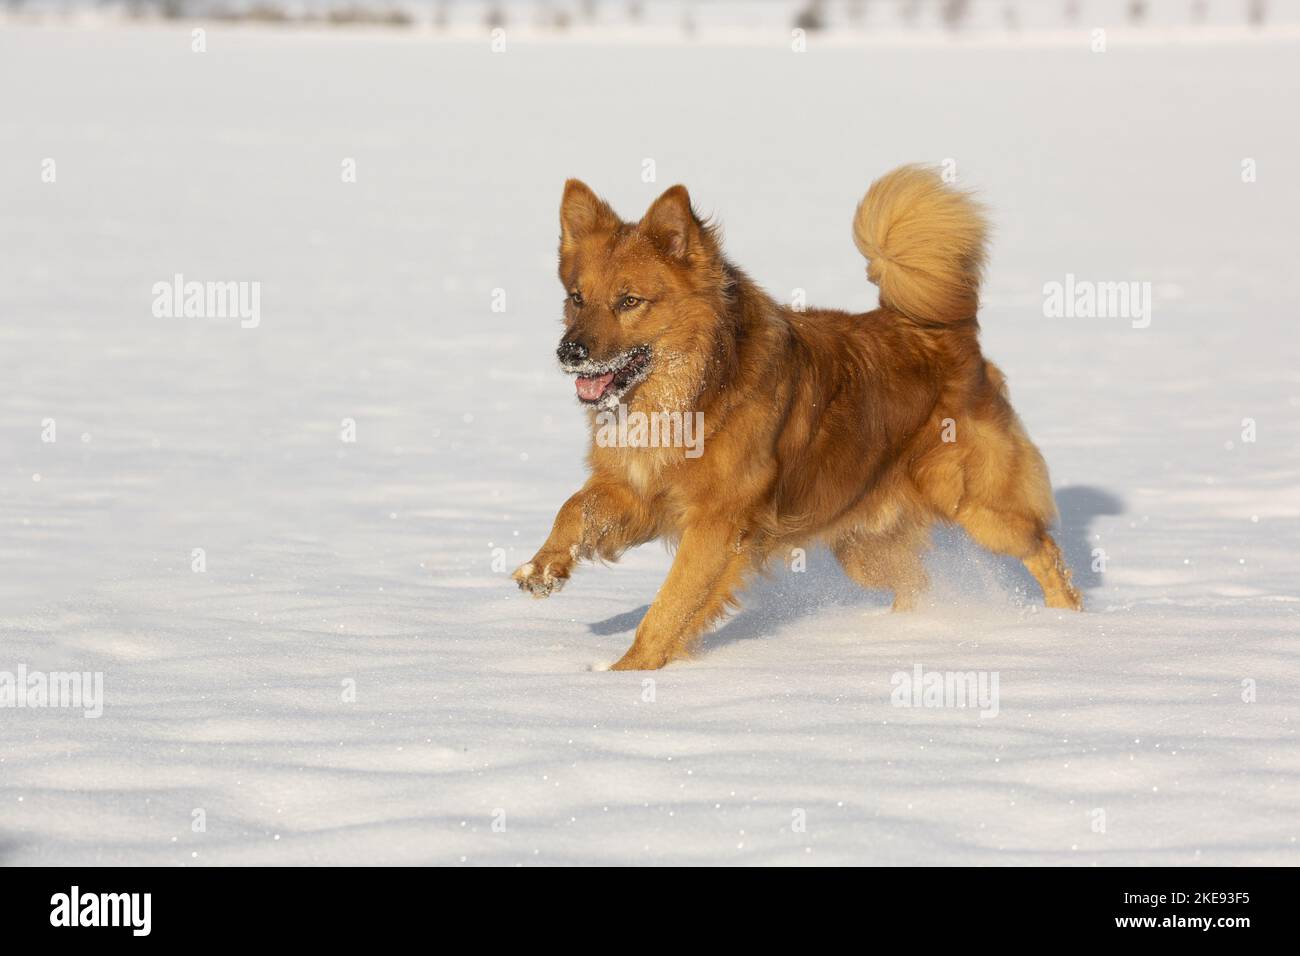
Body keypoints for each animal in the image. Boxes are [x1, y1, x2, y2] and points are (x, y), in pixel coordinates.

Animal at [513, 165, 1081, 670]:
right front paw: (544, 567)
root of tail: (947, 332)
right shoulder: (637, 490)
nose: (569, 351)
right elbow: (574, 509)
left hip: (976, 504)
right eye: (576, 297)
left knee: (1044, 549)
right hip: (864, 545)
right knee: (915, 583)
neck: (693, 390)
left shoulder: (717, 523)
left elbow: (671, 605)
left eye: (630, 301)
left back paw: (1066, 625)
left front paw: (625, 677)